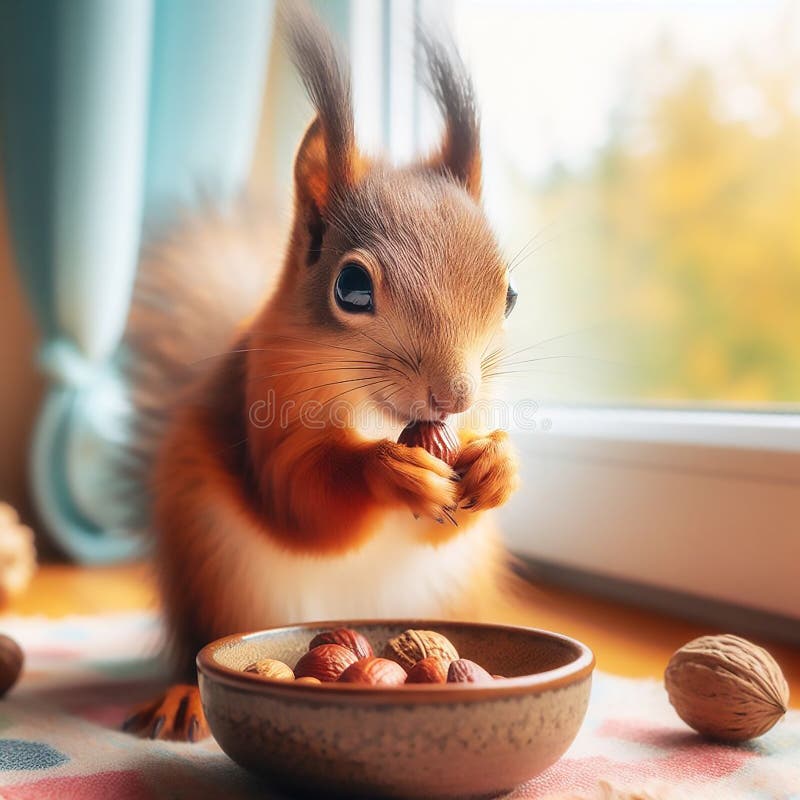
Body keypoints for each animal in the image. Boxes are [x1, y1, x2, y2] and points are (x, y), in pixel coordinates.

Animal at [122, 4, 520, 742]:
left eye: (509, 295)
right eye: (352, 288)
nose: (452, 395)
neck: (379, 412)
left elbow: (457, 506)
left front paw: (497, 464)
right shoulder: (268, 402)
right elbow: (299, 497)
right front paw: (390, 471)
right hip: (214, 574)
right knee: (197, 648)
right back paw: (183, 696)